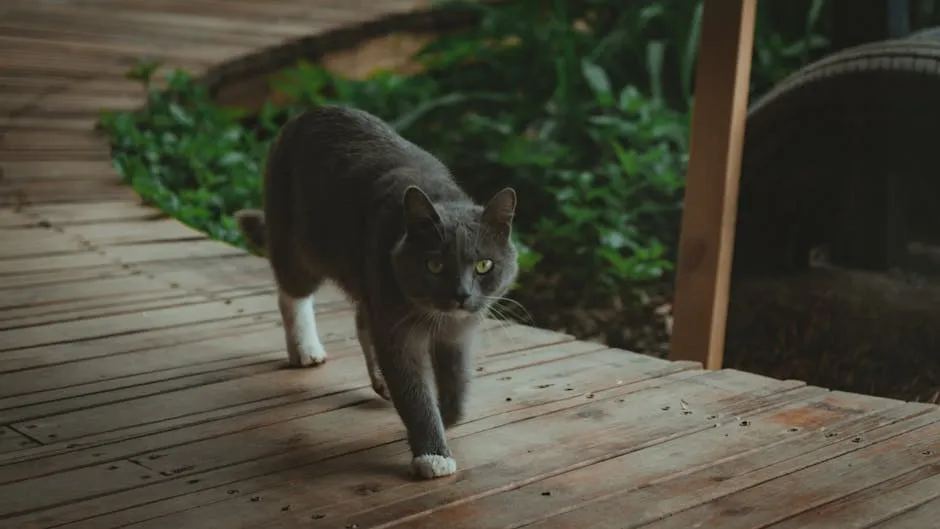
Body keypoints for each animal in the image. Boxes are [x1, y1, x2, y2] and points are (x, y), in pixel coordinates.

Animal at [231, 105, 516, 480]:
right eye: (434, 264)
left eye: (484, 265)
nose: (462, 294)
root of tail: (310, 112)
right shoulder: (396, 327)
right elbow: (413, 391)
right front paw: (433, 455)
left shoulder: (458, 331)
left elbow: (457, 380)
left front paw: (447, 413)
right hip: (297, 240)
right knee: (292, 292)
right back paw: (306, 349)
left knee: (361, 318)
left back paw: (378, 378)